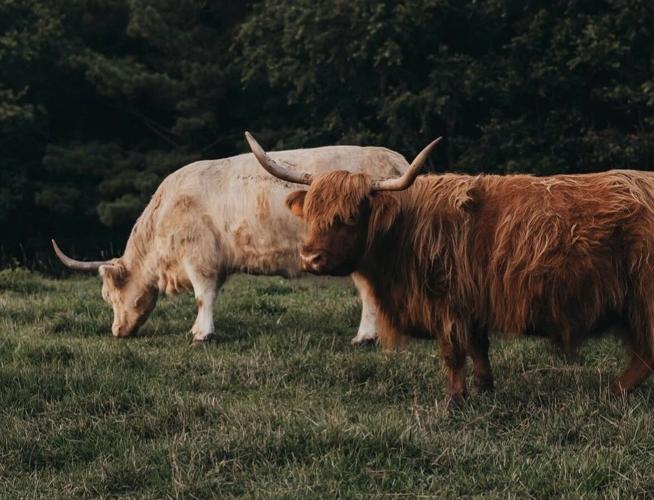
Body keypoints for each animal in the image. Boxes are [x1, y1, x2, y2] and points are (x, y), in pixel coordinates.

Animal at [52, 145, 410, 343]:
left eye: (108, 296)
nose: (117, 331)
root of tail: (397, 162)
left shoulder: (199, 256)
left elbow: (203, 296)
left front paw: (202, 334)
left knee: (369, 295)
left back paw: (364, 337)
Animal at [246, 131, 654, 401]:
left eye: (349, 217)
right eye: (311, 214)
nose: (309, 258)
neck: (403, 232)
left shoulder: (446, 302)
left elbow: (453, 352)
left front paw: (454, 399)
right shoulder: (471, 303)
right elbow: (478, 348)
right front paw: (485, 389)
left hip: (642, 297)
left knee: (645, 353)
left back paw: (612, 392)